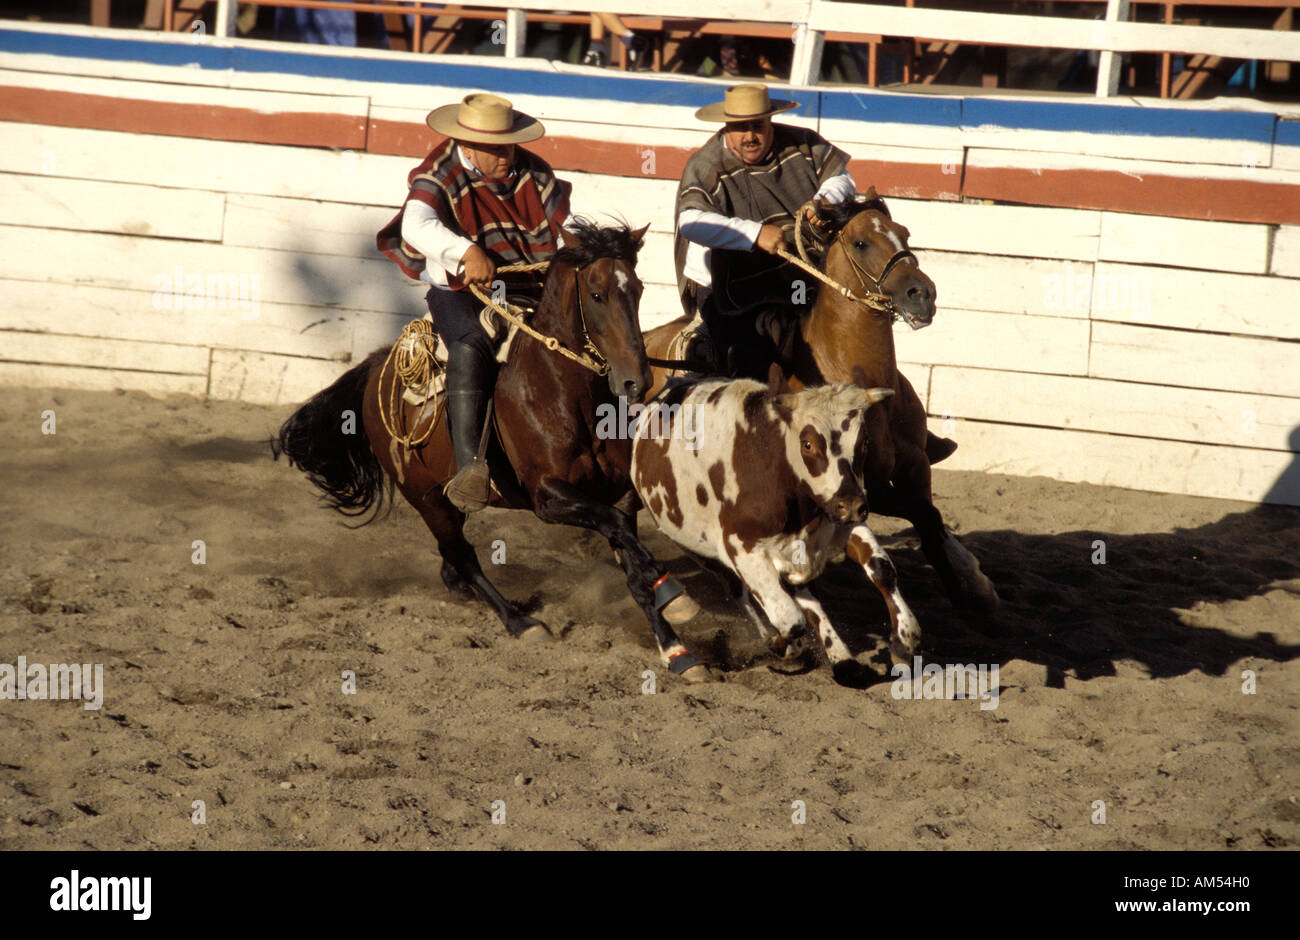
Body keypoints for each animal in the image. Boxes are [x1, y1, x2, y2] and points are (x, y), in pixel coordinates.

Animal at [630, 365, 922, 679]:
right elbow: (789, 620)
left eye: (864, 443)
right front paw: (782, 644)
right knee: (740, 591)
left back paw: (842, 658)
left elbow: (882, 569)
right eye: (808, 443)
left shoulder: (839, 521)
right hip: (697, 549)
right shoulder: (742, 549)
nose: (854, 505)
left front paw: (903, 640)